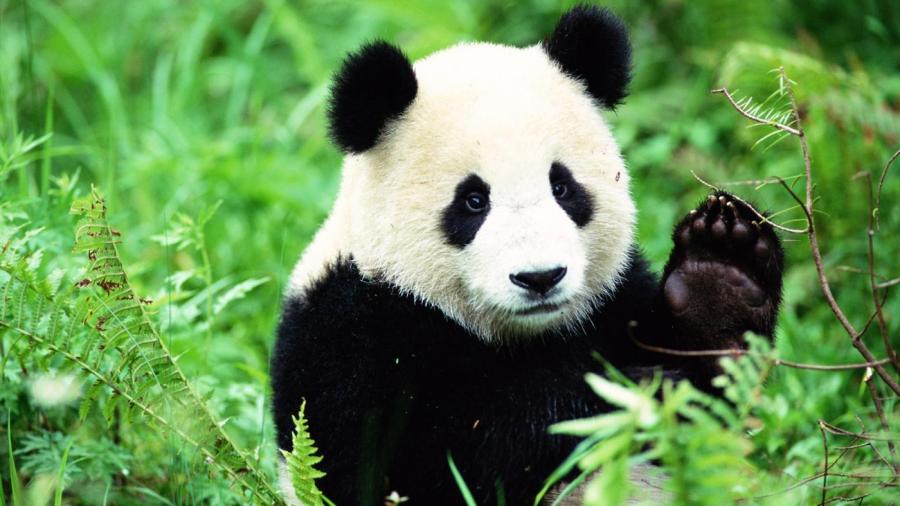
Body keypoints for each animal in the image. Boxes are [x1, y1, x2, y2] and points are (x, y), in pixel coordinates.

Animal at [271, 5, 784, 505]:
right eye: (473, 201)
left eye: (562, 187)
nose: (540, 277)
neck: (519, 335)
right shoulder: (348, 332)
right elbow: (413, 465)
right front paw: (626, 396)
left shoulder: (616, 299)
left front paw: (719, 276)